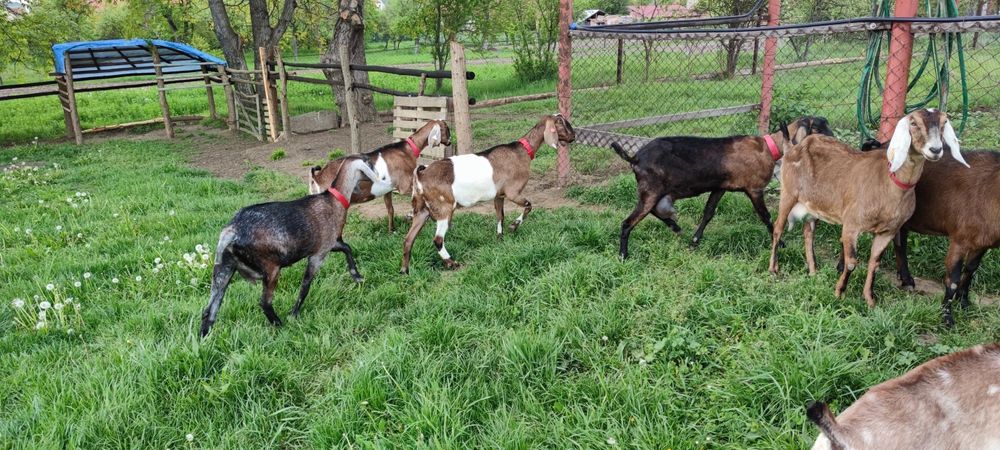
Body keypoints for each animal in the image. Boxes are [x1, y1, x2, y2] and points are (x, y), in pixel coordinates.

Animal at [199, 156, 389, 337]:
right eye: (369, 164)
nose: (383, 177)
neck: (333, 200)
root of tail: (231, 231)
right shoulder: (318, 254)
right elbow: (305, 285)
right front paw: (294, 314)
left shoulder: (328, 244)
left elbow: (347, 248)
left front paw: (357, 276)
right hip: (271, 269)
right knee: (264, 302)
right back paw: (280, 325)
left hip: (223, 269)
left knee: (209, 310)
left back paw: (204, 338)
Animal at [308, 120, 451, 232]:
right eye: (447, 129)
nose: (450, 142)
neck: (407, 150)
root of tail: (317, 178)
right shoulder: (404, 186)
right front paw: (412, 214)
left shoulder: (387, 189)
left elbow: (390, 209)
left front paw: (391, 231)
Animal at [399, 114, 576, 274]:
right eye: (562, 123)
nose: (573, 136)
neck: (522, 151)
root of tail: (421, 174)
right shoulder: (512, 192)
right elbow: (529, 206)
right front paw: (514, 226)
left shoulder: (499, 195)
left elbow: (500, 216)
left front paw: (500, 238)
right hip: (444, 207)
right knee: (437, 239)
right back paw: (452, 263)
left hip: (422, 210)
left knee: (408, 239)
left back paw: (405, 270)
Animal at [612, 116, 833, 259]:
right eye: (819, 129)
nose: (835, 142)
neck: (769, 148)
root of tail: (635, 158)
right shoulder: (754, 189)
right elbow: (766, 217)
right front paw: (781, 243)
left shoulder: (721, 187)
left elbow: (708, 212)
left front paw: (694, 241)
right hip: (651, 189)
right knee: (629, 222)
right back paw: (623, 255)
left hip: (656, 191)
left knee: (655, 211)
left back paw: (675, 226)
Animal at [768, 109, 968, 307]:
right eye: (914, 123)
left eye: (944, 123)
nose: (935, 150)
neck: (889, 183)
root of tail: (792, 147)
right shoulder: (851, 224)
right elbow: (851, 262)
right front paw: (839, 292)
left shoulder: (887, 231)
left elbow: (875, 263)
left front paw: (869, 299)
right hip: (788, 193)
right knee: (778, 228)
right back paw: (773, 269)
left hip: (812, 205)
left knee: (808, 232)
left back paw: (813, 271)